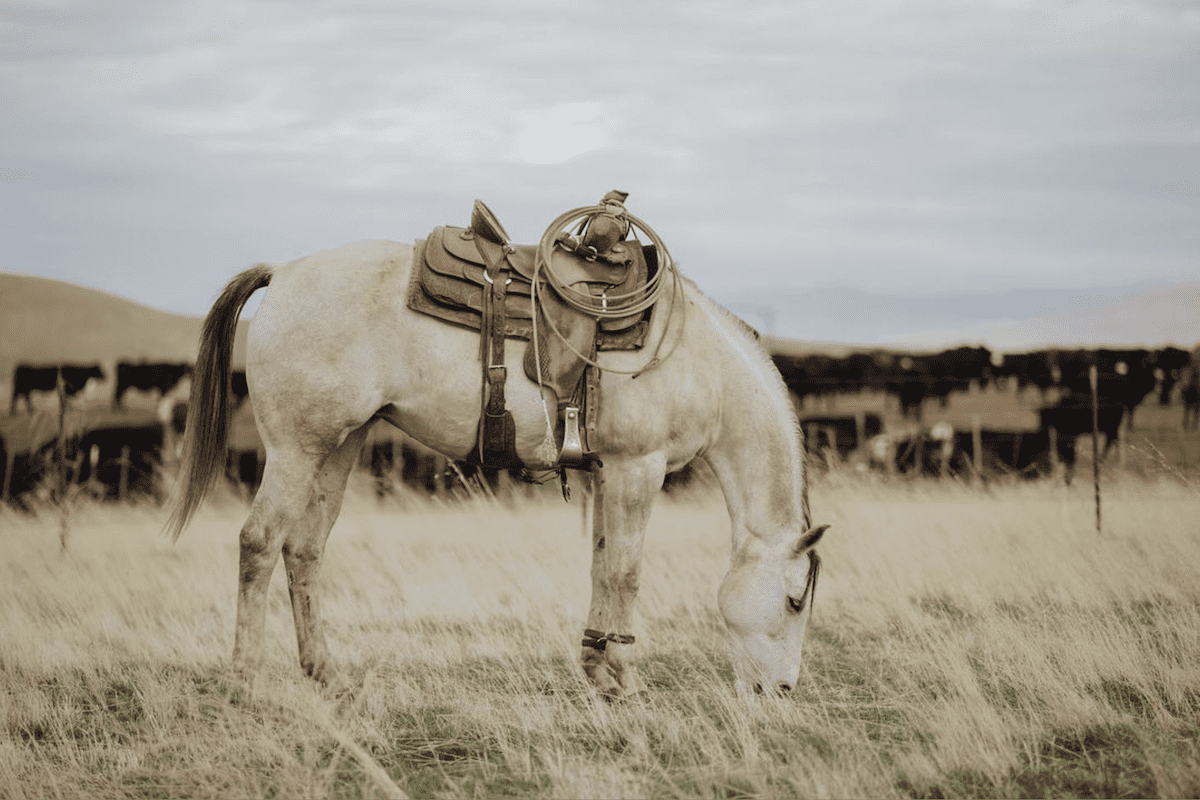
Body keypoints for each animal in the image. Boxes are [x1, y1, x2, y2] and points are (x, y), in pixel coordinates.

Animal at [167, 236, 827, 698]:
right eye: (796, 600)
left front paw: (596, 670)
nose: (781, 691)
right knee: (258, 542)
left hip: (338, 446)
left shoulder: (605, 473)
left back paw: (327, 675)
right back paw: (244, 681)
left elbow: (600, 565)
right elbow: (626, 574)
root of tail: (283, 271)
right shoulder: (639, 469)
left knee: (302, 551)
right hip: (296, 450)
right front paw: (625, 678)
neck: (695, 361)